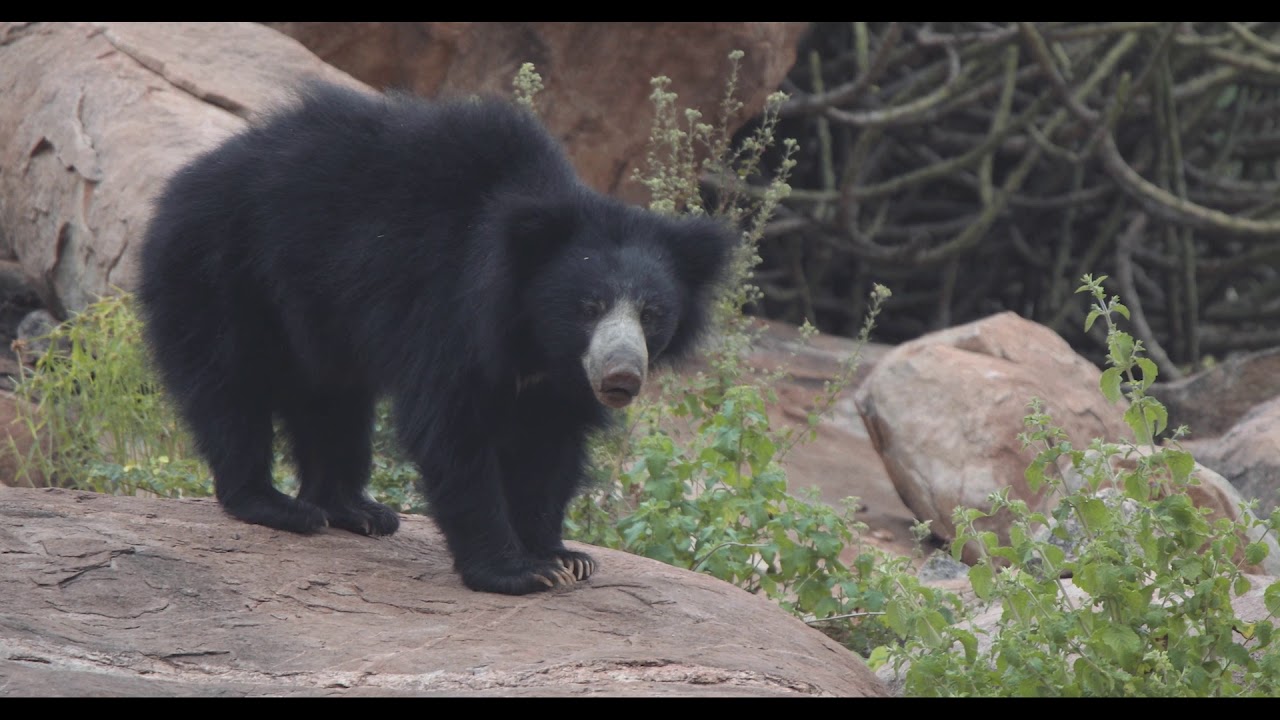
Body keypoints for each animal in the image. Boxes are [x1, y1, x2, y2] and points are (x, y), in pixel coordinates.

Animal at [137, 81, 736, 596]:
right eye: (588, 307)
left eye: (652, 313)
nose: (621, 377)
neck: (532, 339)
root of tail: (183, 182)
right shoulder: (447, 310)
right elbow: (453, 430)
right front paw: (517, 572)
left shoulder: (559, 381)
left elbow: (552, 448)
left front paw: (564, 557)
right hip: (222, 271)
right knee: (230, 388)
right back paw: (275, 506)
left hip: (310, 313)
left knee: (332, 403)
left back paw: (356, 510)